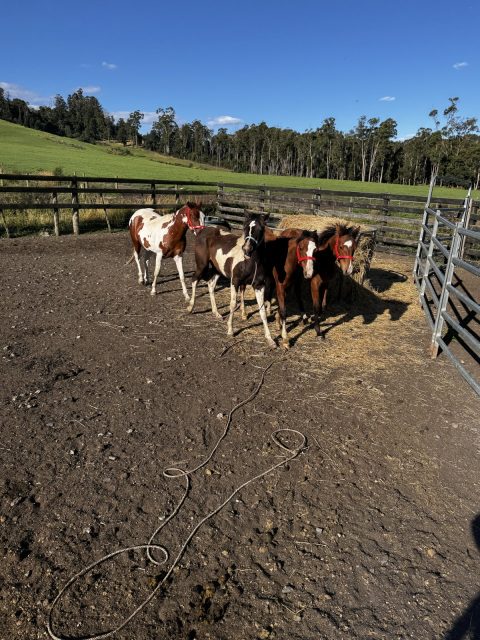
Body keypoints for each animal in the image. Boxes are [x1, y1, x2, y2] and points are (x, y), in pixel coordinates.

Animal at [187, 212, 276, 348]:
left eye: (261, 229)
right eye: (245, 228)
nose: (247, 249)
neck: (250, 261)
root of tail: (203, 230)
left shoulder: (259, 285)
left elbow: (262, 311)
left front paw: (270, 339)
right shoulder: (235, 281)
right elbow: (233, 304)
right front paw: (230, 330)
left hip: (217, 270)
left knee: (210, 285)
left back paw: (216, 313)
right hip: (202, 265)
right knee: (194, 280)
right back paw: (190, 307)